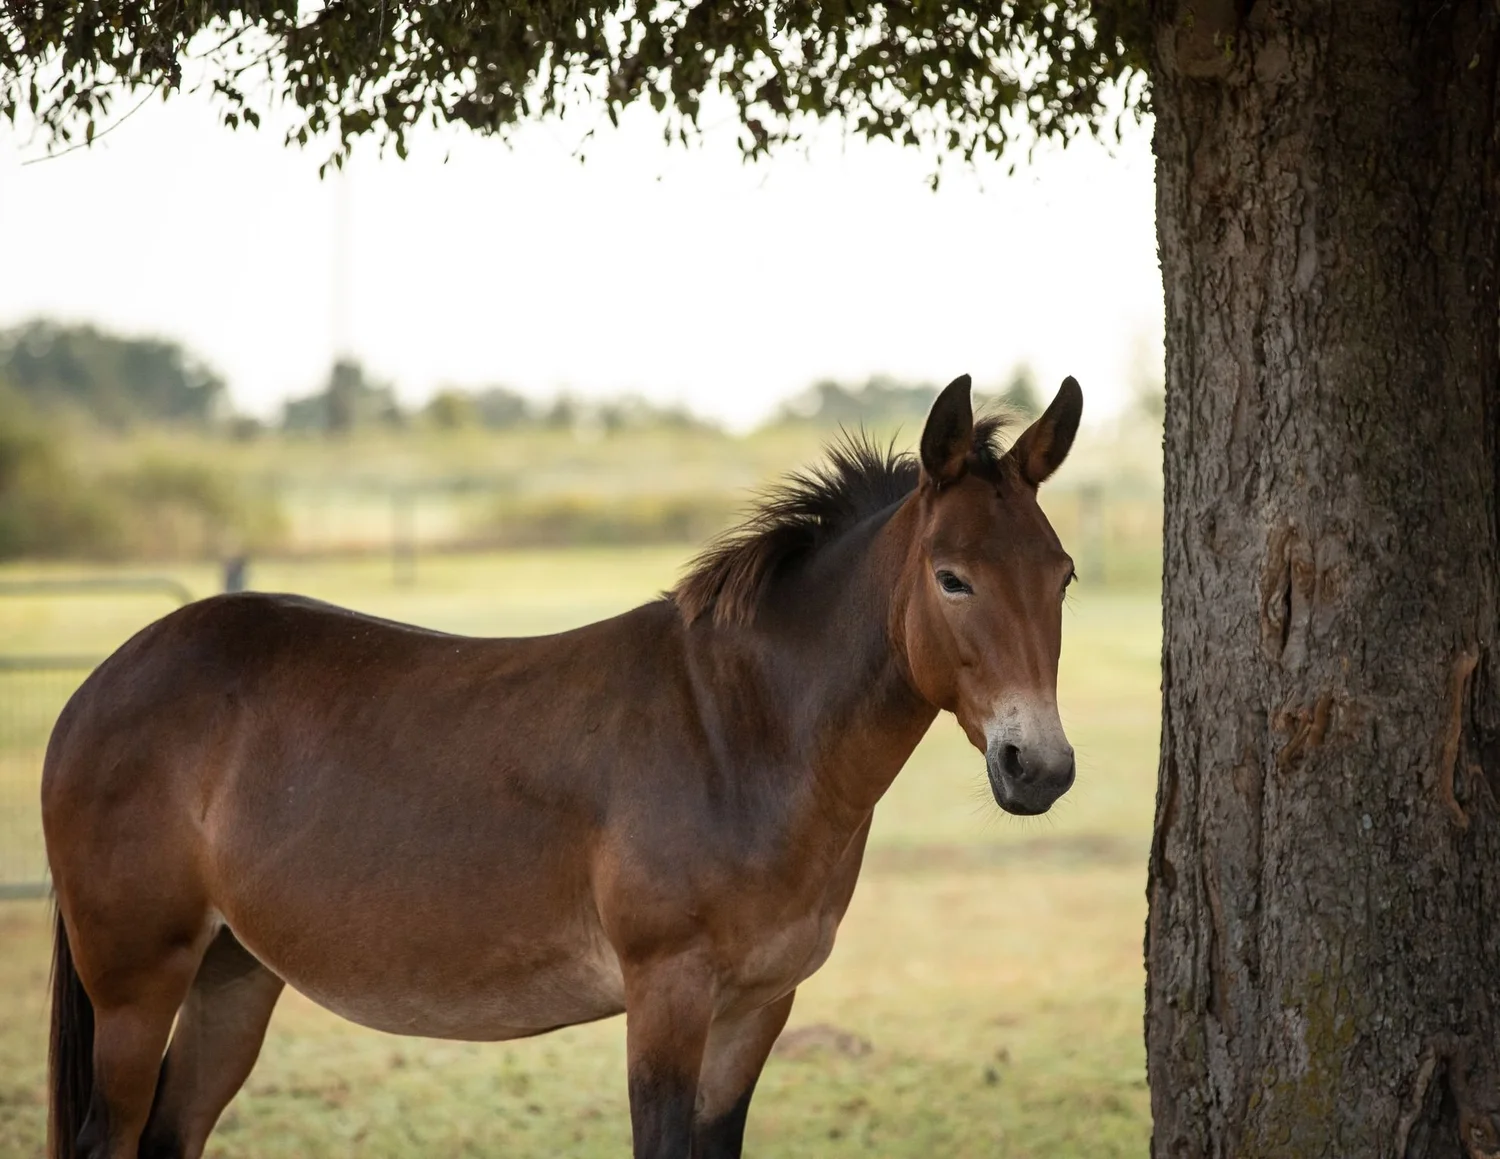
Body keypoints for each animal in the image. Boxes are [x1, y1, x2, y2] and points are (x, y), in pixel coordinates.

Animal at [41, 373, 1083, 1159]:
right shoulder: (667, 998)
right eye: (952, 577)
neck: (740, 732)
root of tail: (106, 681)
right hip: (137, 980)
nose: (1039, 766)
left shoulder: (756, 1009)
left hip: (233, 974)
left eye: (1063, 574)